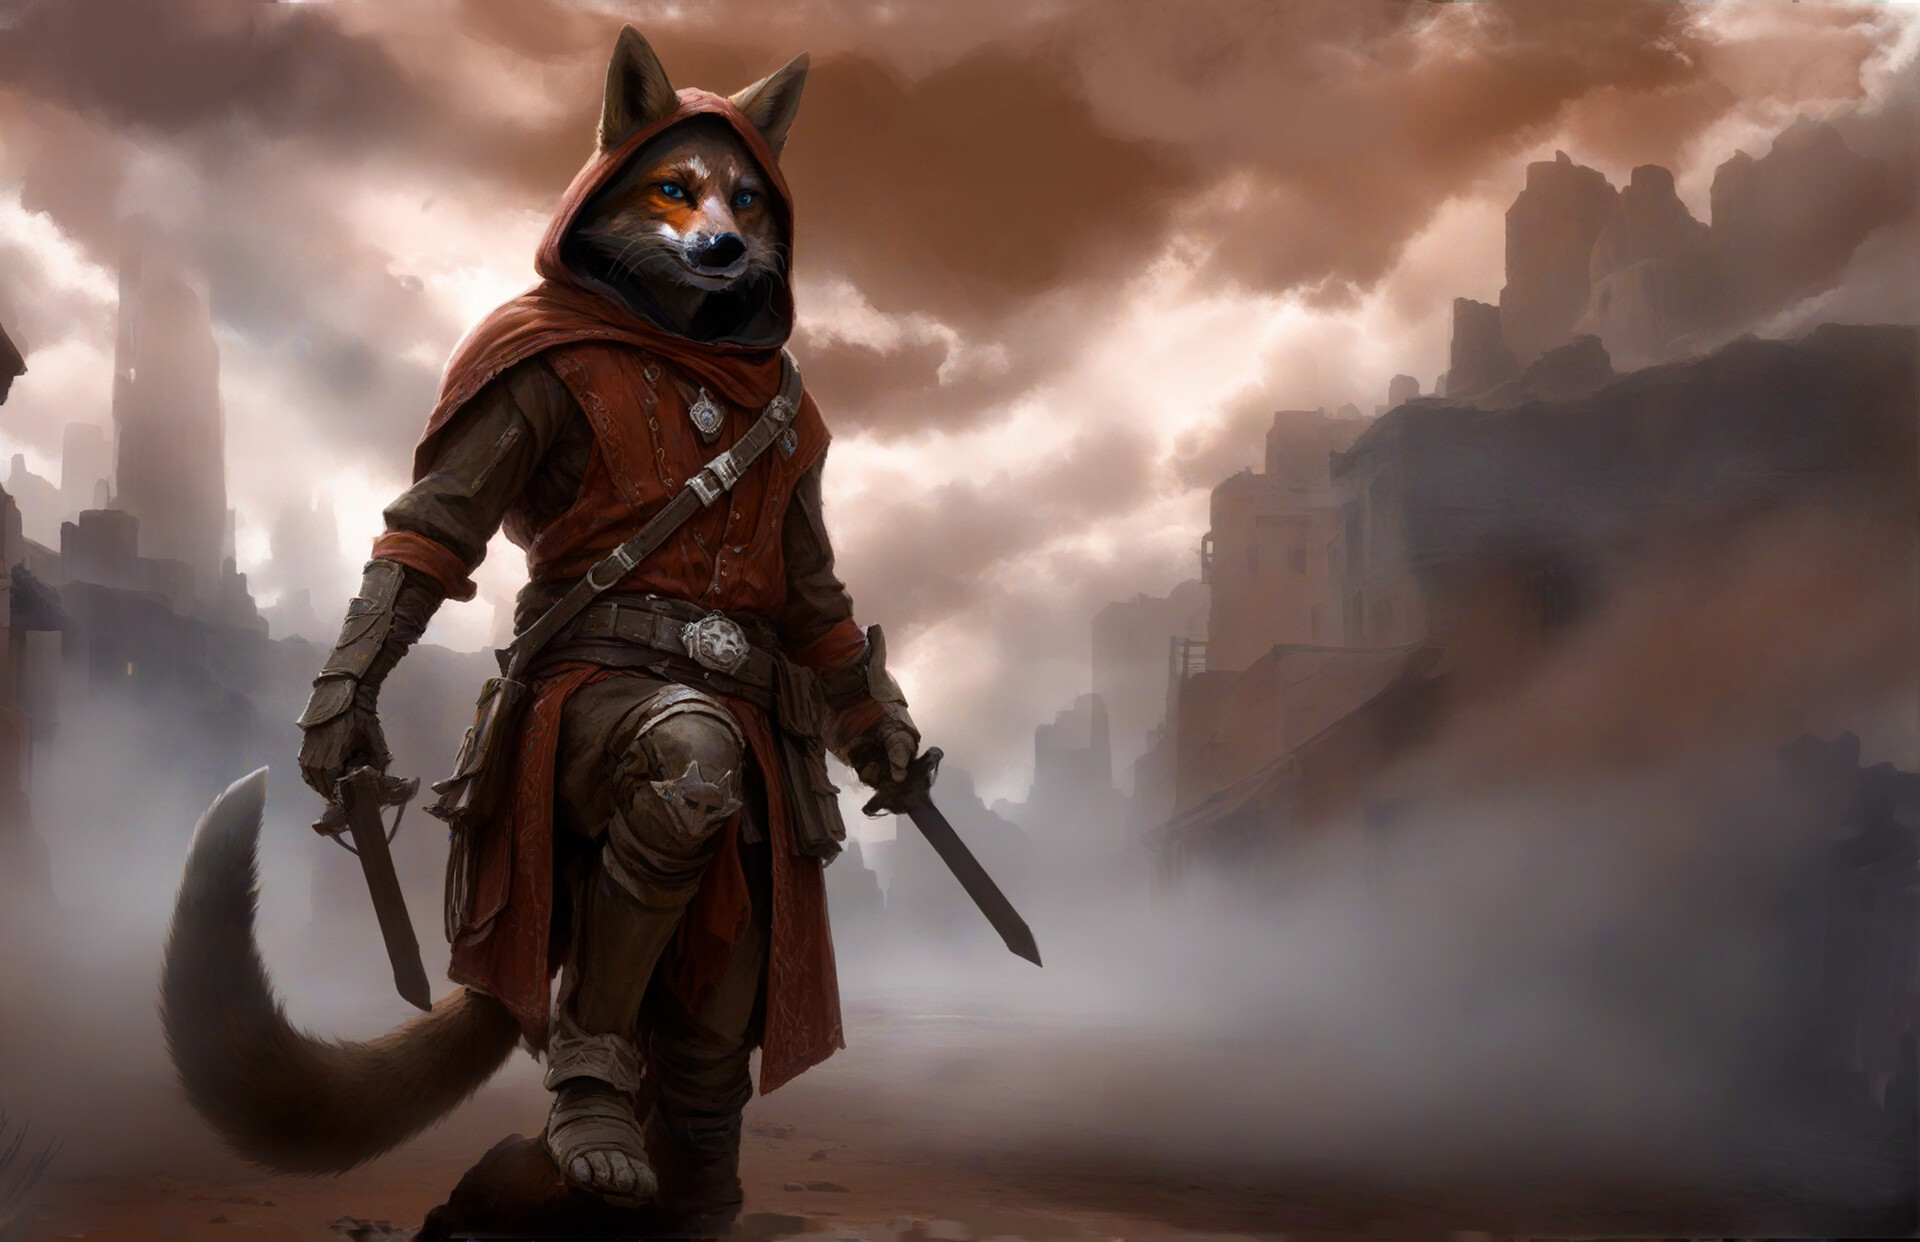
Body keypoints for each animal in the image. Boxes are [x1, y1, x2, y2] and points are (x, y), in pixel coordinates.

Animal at [160, 27, 812, 1177]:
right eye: (674, 186)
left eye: (747, 194)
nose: (725, 249)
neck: (680, 341)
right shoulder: (509, 378)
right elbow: (431, 534)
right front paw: (340, 721)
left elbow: (820, 587)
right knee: (685, 789)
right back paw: (595, 1122)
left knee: (715, 999)